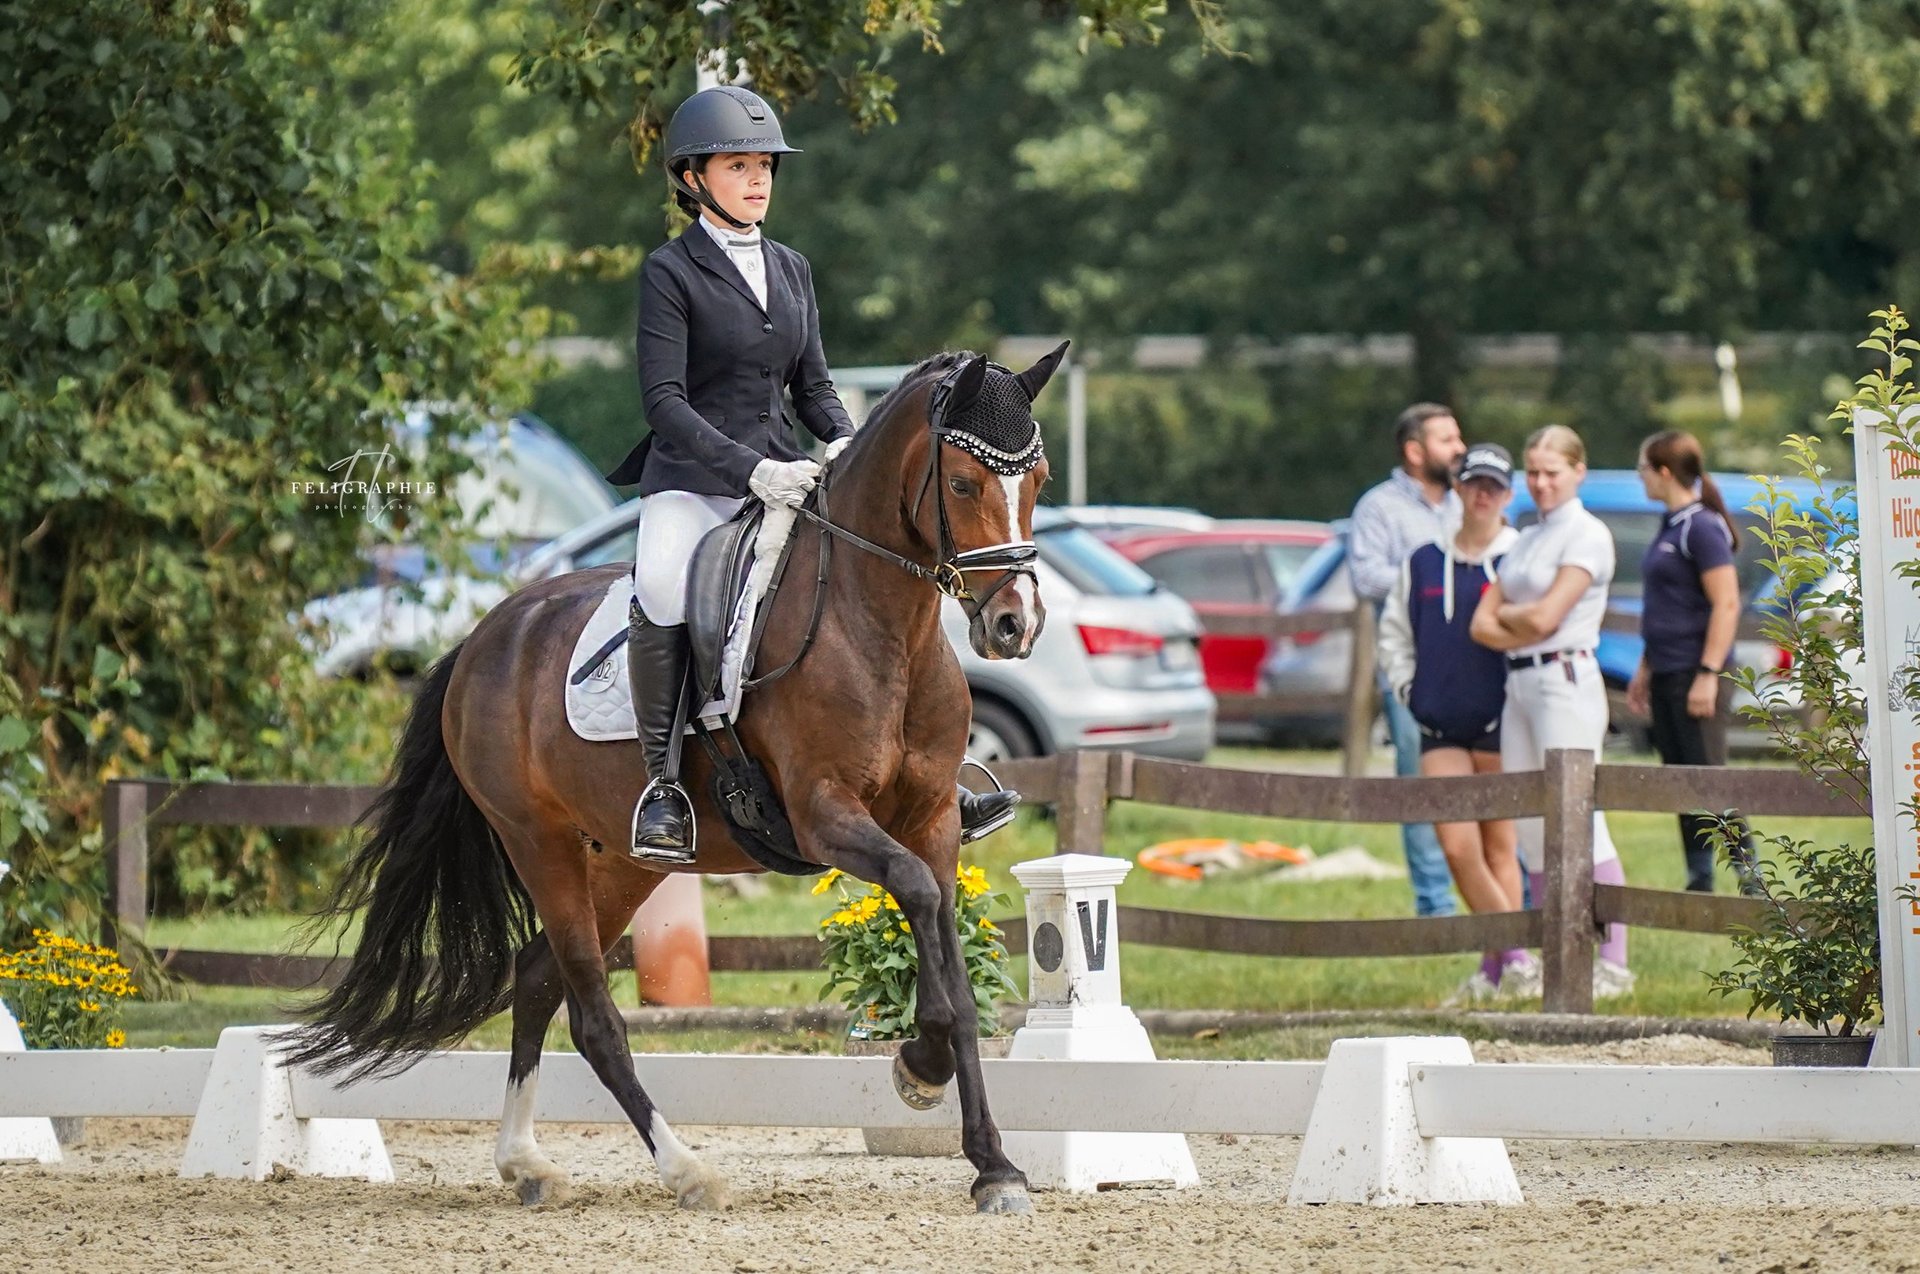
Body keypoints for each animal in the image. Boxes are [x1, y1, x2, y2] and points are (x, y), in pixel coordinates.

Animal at [285, 345, 1066, 1216]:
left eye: (1038, 481)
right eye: (962, 483)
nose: (1016, 625)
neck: (879, 627)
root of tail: (487, 634)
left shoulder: (931, 820)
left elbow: (959, 984)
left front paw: (993, 1164)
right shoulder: (824, 815)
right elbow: (922, 902)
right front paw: (918, 1068)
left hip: (622, 860)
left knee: (538, 977)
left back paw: (525, 1163)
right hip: (538, 841)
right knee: (592, 1016)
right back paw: (685, 1169)